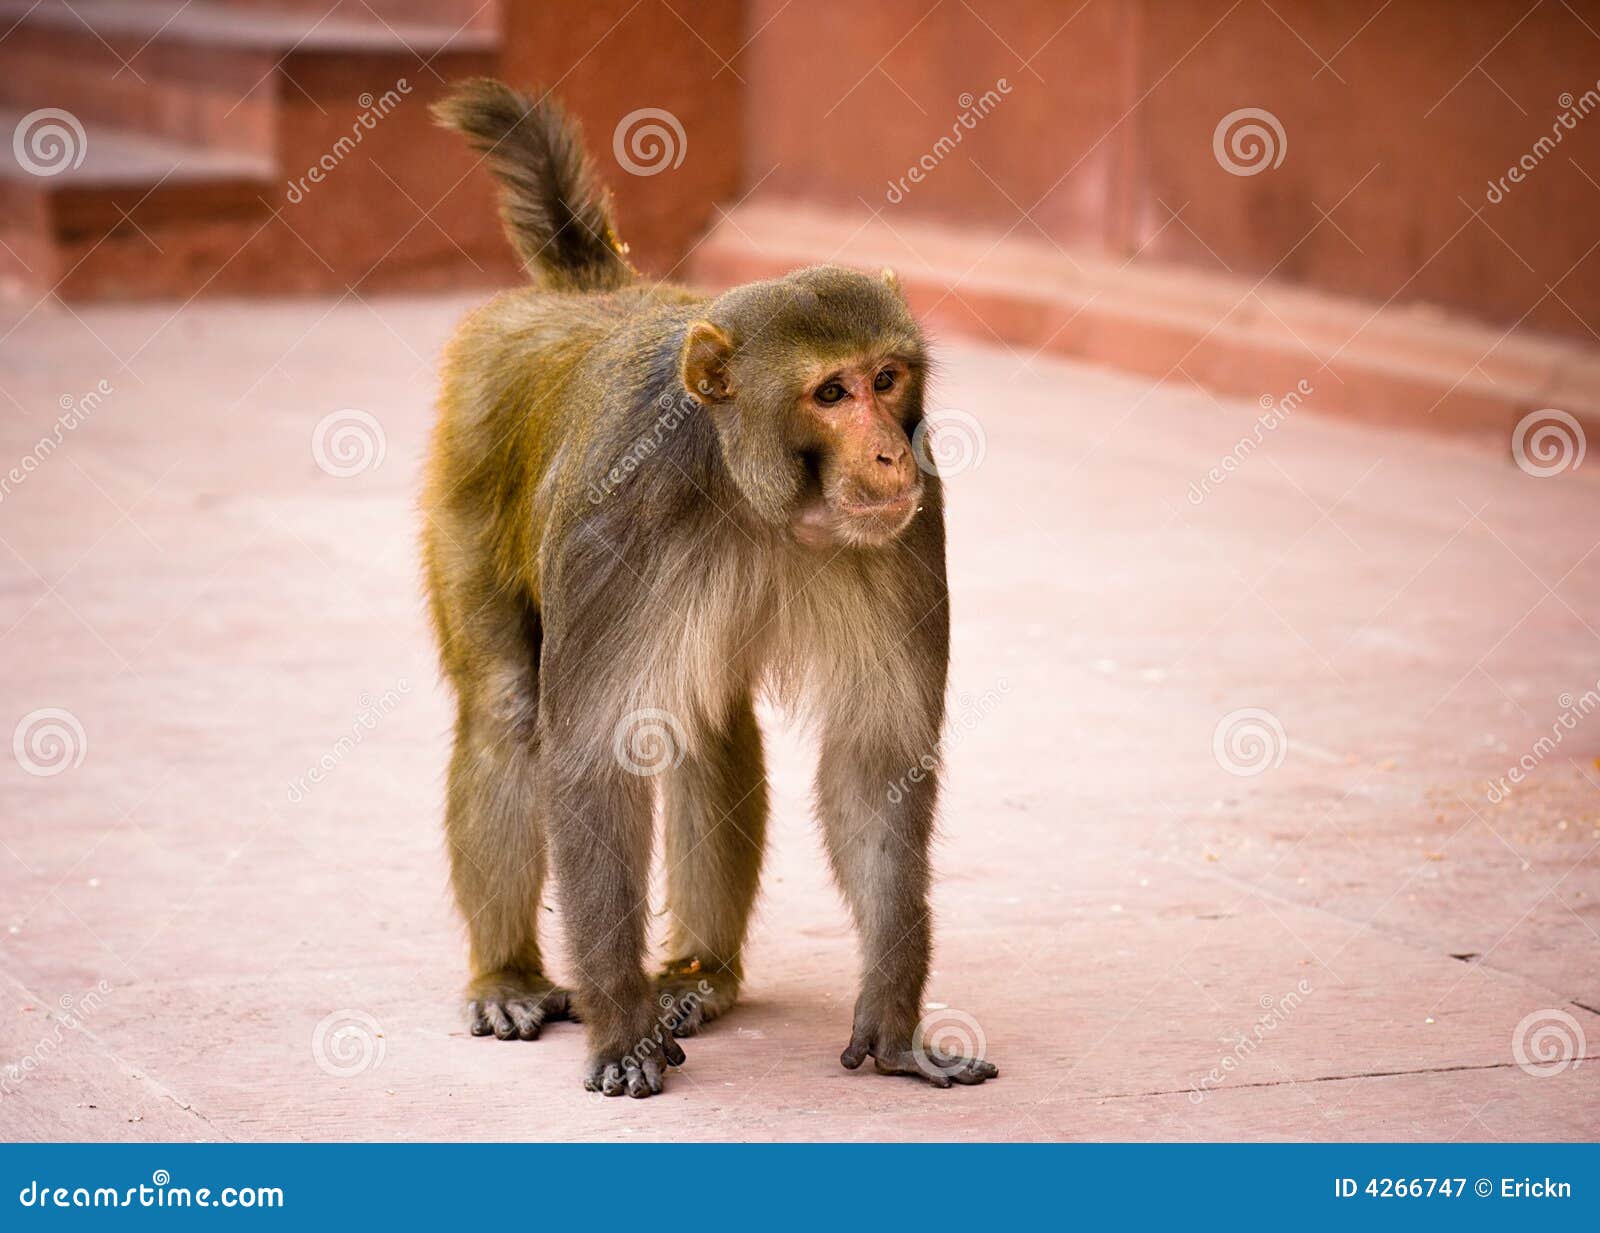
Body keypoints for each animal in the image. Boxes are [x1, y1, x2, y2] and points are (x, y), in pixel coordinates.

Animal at [421, 79, 997, 1098]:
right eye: (831, 394)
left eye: (888, 378)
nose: (890, 455)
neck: (745, 489)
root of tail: (587, 297)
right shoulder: (617, 516)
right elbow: (590, 757)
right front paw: (620, 1026)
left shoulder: (912, 527)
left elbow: (875, 759)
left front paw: (894, 1023)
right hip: (472, 460)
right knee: (507, 704)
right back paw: (510, 974)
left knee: (707, 719)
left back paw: (701, 972)